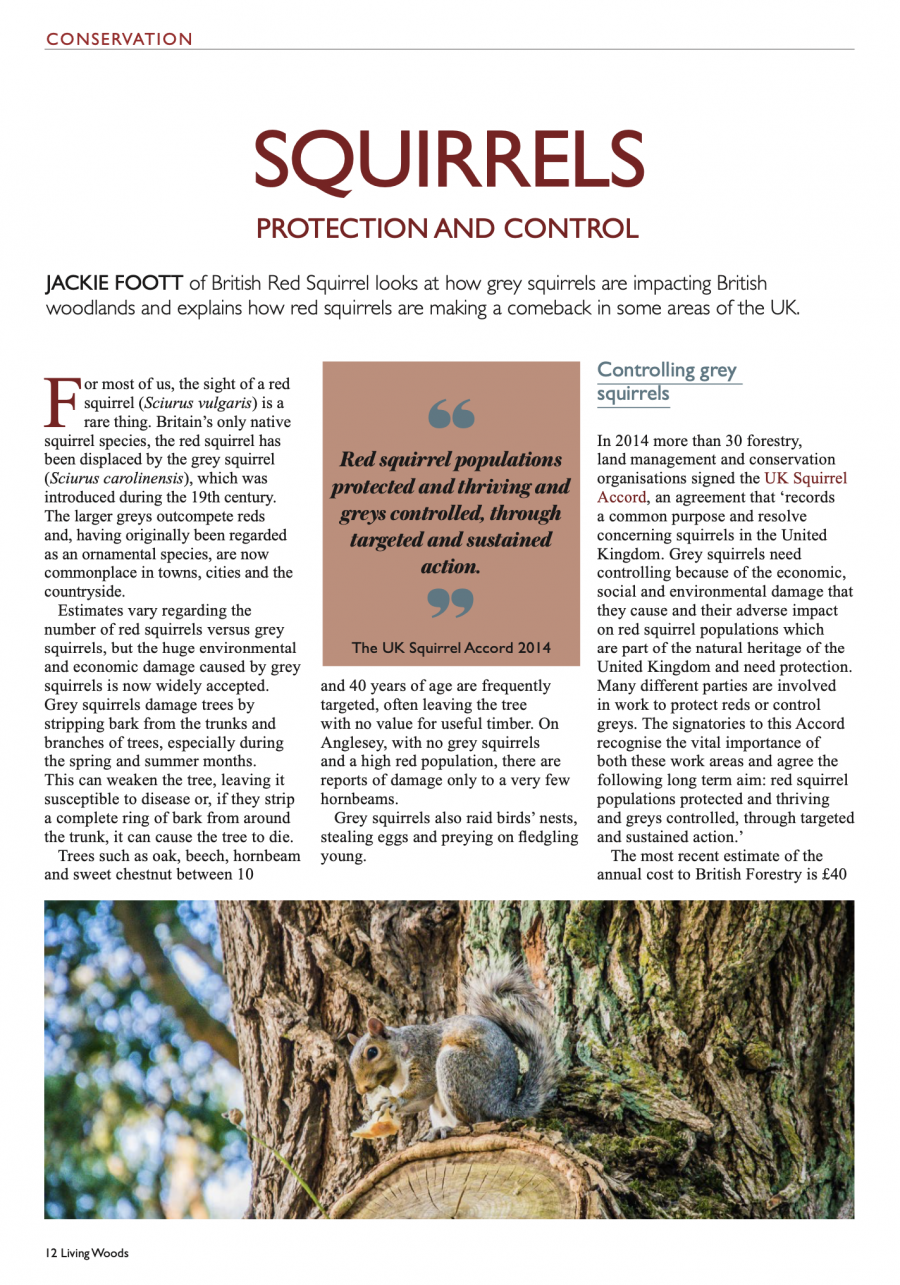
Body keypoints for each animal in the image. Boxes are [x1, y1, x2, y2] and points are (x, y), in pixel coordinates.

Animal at [347, 963, 561, 1141]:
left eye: (372, 1052)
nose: (361, 1090)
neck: (398, 1071)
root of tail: (501, 1104)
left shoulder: (423, 1056)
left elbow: (424, 1085)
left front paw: (393, 1101)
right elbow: (421, 1102)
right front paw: (375, 1107)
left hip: (454, 1067)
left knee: (472, 1120)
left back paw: (448, 1128)